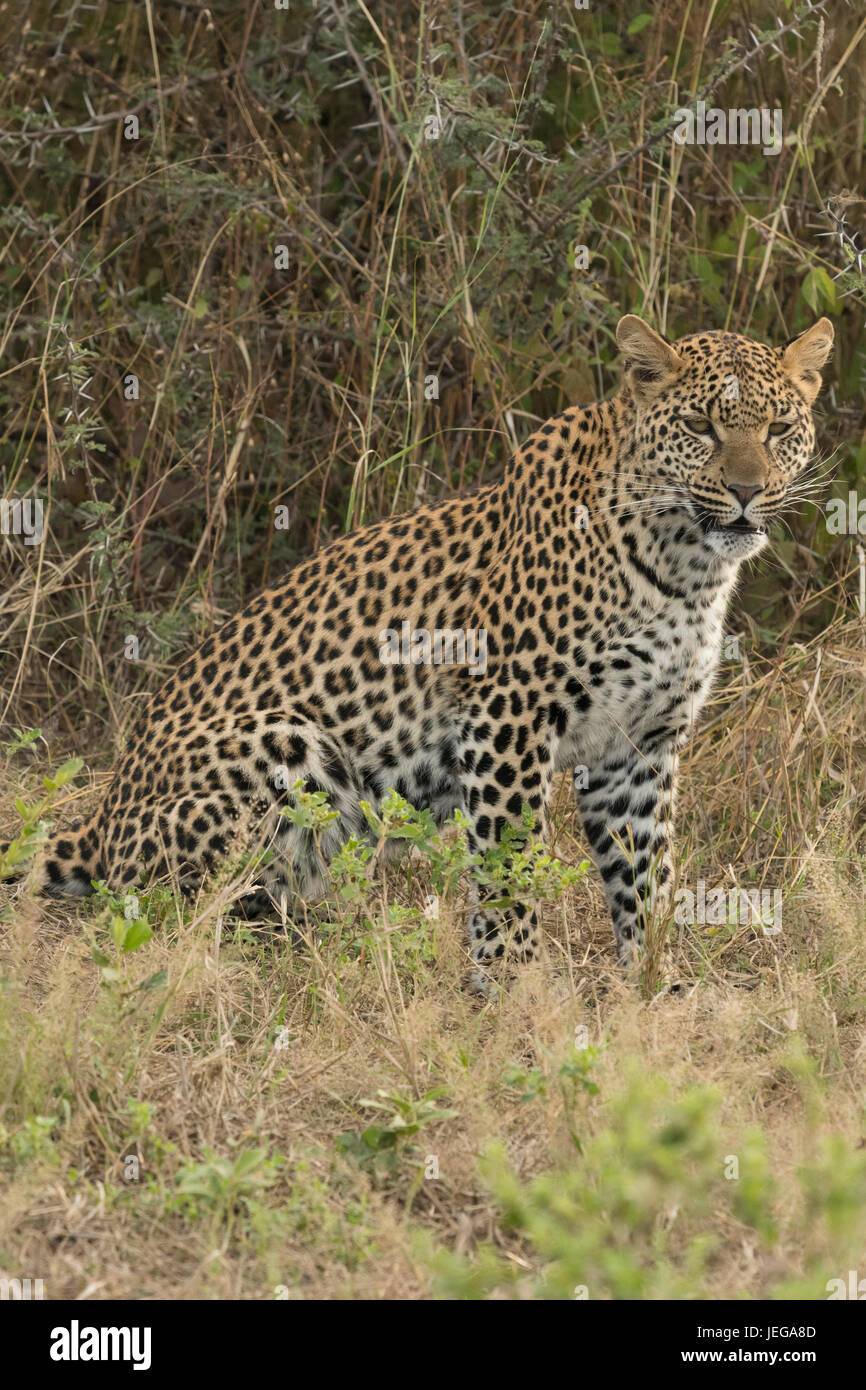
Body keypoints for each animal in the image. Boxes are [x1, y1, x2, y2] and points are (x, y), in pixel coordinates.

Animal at [19, 314, 834, 992]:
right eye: (699, 425)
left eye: (779, 428)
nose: (746, 492)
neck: (684, 567)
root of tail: (102, 820)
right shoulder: (509, 715)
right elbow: (510, 865)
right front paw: (513, 989)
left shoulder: (639, 745)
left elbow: (645, 880)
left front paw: (654, 986)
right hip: (288, 743)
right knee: (175, 914)